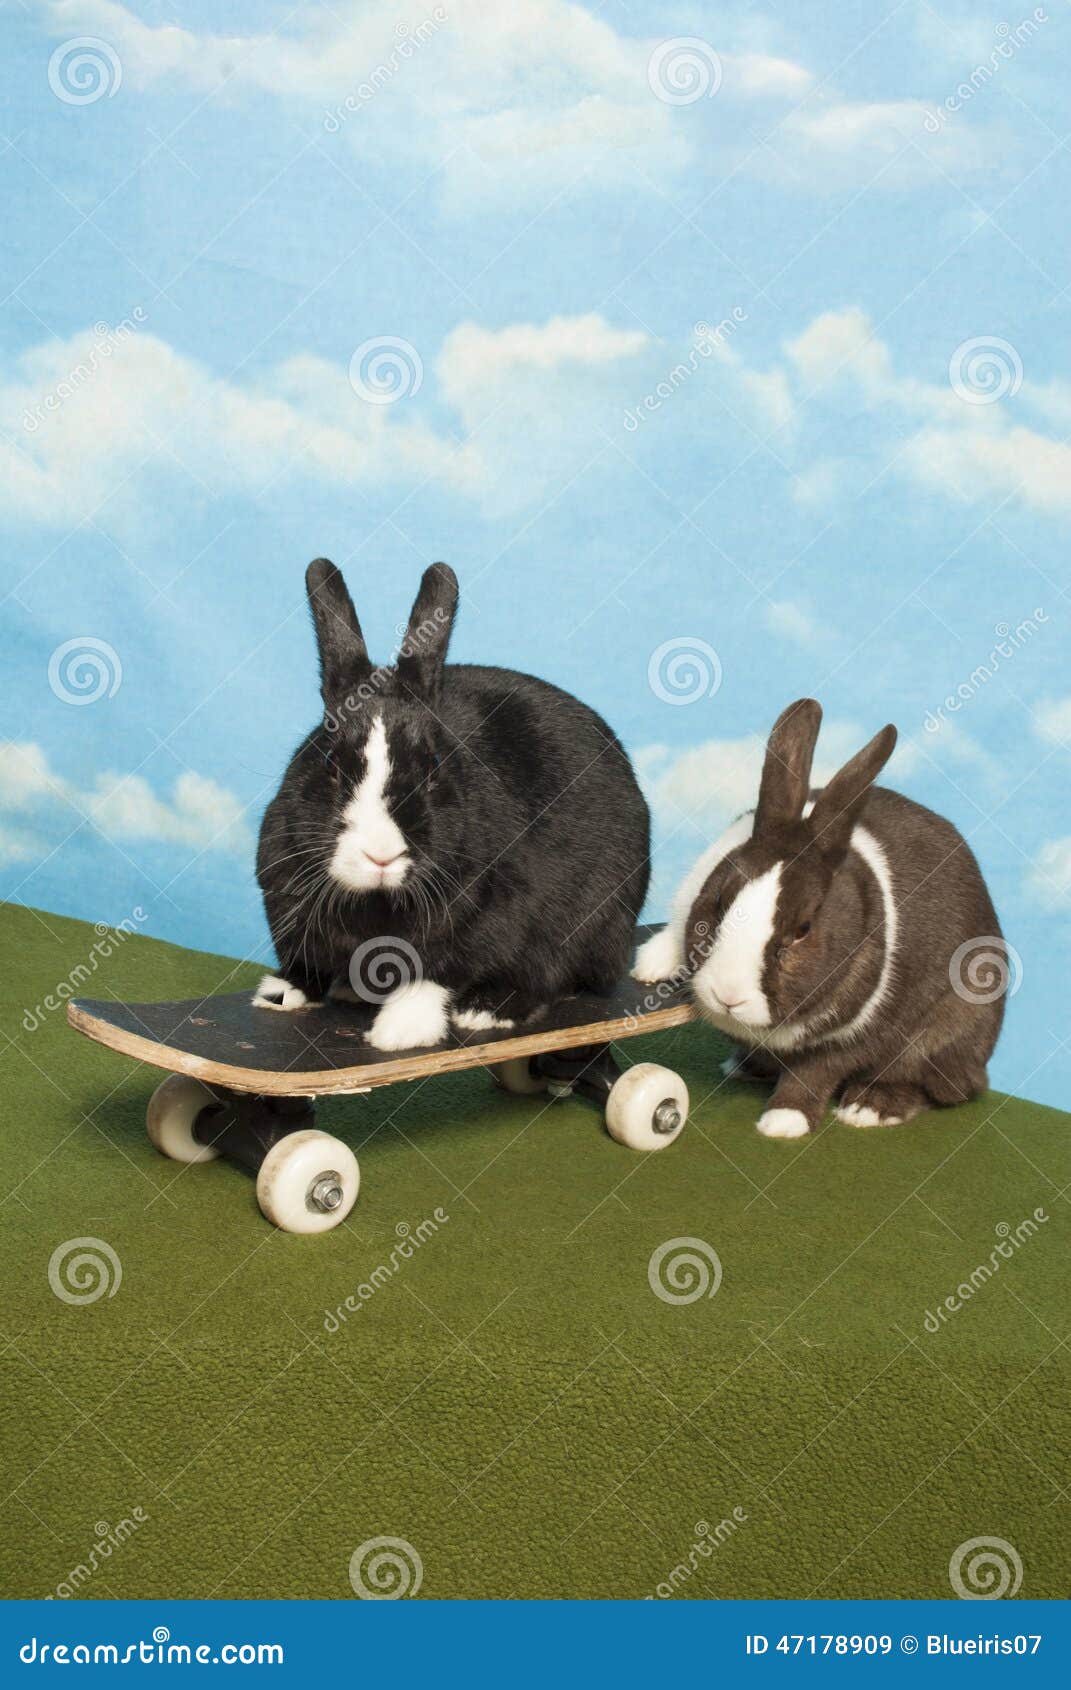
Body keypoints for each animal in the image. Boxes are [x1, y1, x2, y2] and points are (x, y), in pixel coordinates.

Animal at [255, 558, 650, 1051]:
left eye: (433, 766)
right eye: (329, 761)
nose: (381, 855)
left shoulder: (484, 918)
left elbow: (435, 974)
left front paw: (397, 1032)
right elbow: (303, 961)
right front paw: (282, 992)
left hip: (591, 915)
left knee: (552, 972)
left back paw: (486, 1010)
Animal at [633, 697, 1006, 1138]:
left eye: (803, 930)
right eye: (722, 900)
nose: (728, 997)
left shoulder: (853, 1034)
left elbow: (815, 1073)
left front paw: (783, 1122)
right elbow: (674, 933)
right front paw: (649, 968)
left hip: (949, 1032)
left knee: (933, 1083)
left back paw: (869, 1107)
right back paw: (745, 1064)